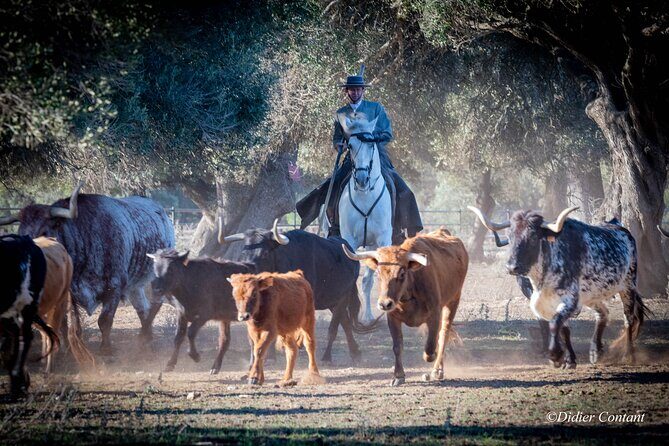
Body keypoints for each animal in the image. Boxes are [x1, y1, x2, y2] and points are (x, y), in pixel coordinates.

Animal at [0, 182, 175, 354]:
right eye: (21, 233)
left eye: (44, 232)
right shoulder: (67, 294)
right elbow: (68, 325)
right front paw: (67, 351)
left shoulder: (114, 288)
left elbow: (104, 320)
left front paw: (106, 349)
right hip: (135, 284)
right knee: (143, 309)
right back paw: (147, 341)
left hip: (156, 277)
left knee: (155, 304)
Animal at [220, 219, 379, 364]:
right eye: (243, 253)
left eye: (264, 253)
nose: (248, 275)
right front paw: (270, 356)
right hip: (332, 301)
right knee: (345, 322)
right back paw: (355, 353)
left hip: (343, 298)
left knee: (334, 327)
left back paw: (327, 357)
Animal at [338, 116, 393, 322]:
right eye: (350, 145)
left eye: (371, 144)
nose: (362, 178)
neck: (365, 195)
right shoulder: (349, 240)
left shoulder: (381, 240)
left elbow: (370, 279)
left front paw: (369, 316)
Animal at [342, 228, 468, 386]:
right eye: (378, 273)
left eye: (402, 274)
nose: (385, 303)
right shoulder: (393, 318)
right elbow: (397, 346)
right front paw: (398, 376)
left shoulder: (434, 315)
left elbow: (430, 348)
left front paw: (430, 359)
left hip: (452, 301)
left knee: (443, 334)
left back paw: (437, 370)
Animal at [469, 205, 648, 368]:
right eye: (510, 236)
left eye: (533, 237)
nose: (512, 267)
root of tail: (619, 227)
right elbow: (563, 329)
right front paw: (569, 360)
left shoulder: (569, 300)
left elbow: (555, 324)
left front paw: (556, 355)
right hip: (591, 295)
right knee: (603, 314)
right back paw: (595, 351)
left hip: (628, 286)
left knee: (628, 320)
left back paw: (628, 355)